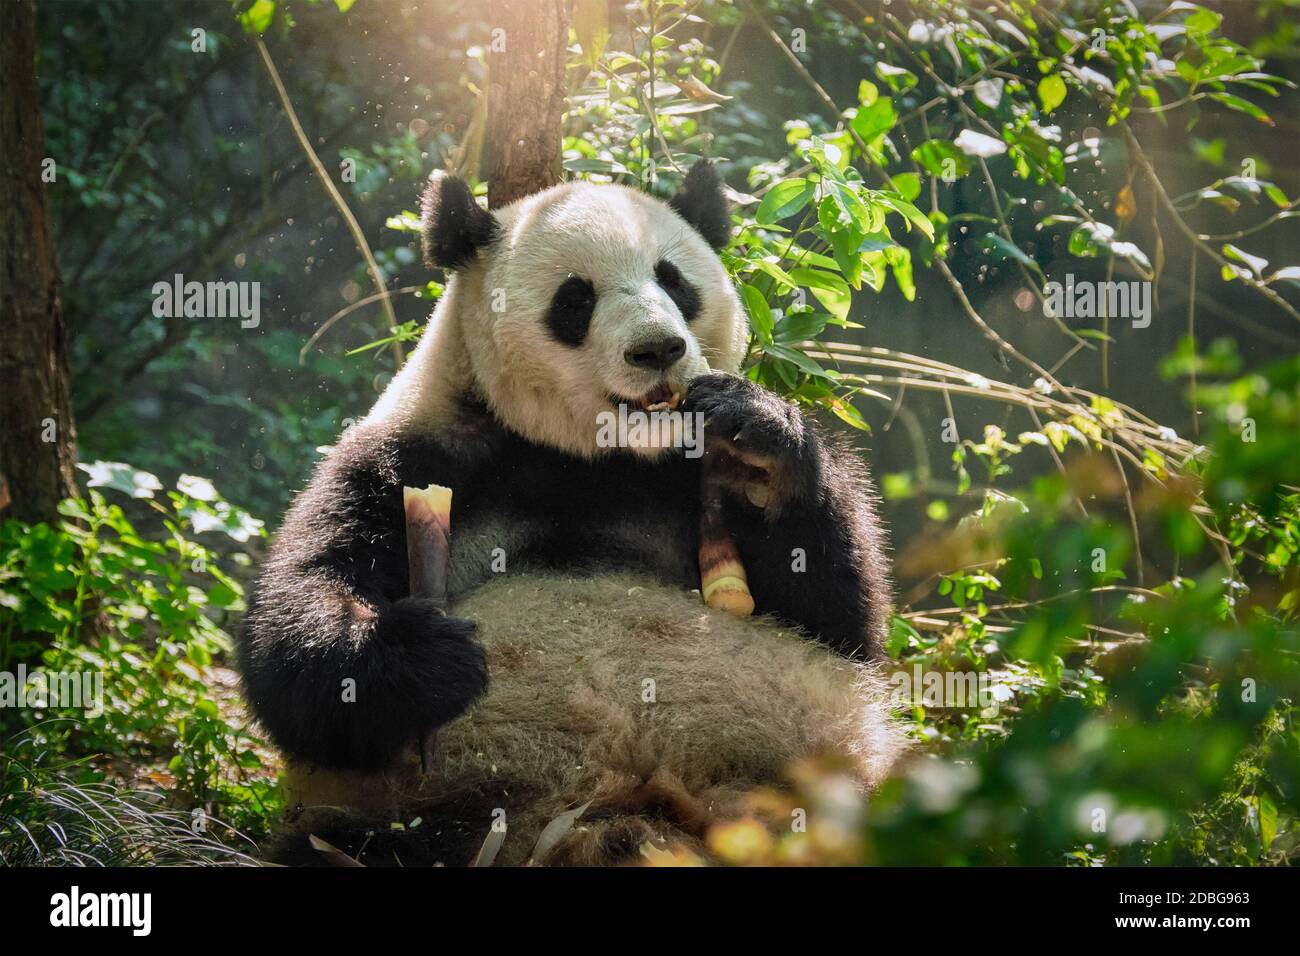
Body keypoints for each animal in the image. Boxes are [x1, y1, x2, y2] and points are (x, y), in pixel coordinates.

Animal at [238, 161, 906, 866]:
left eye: (673, 279)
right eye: (575, 299)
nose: (658, 350)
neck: (593, 457)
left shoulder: (683, 476)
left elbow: (837, 620)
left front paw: (757, 447)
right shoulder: (413, 458)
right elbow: (298, 630)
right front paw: (428, 656)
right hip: (432, 809)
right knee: (356, 844)